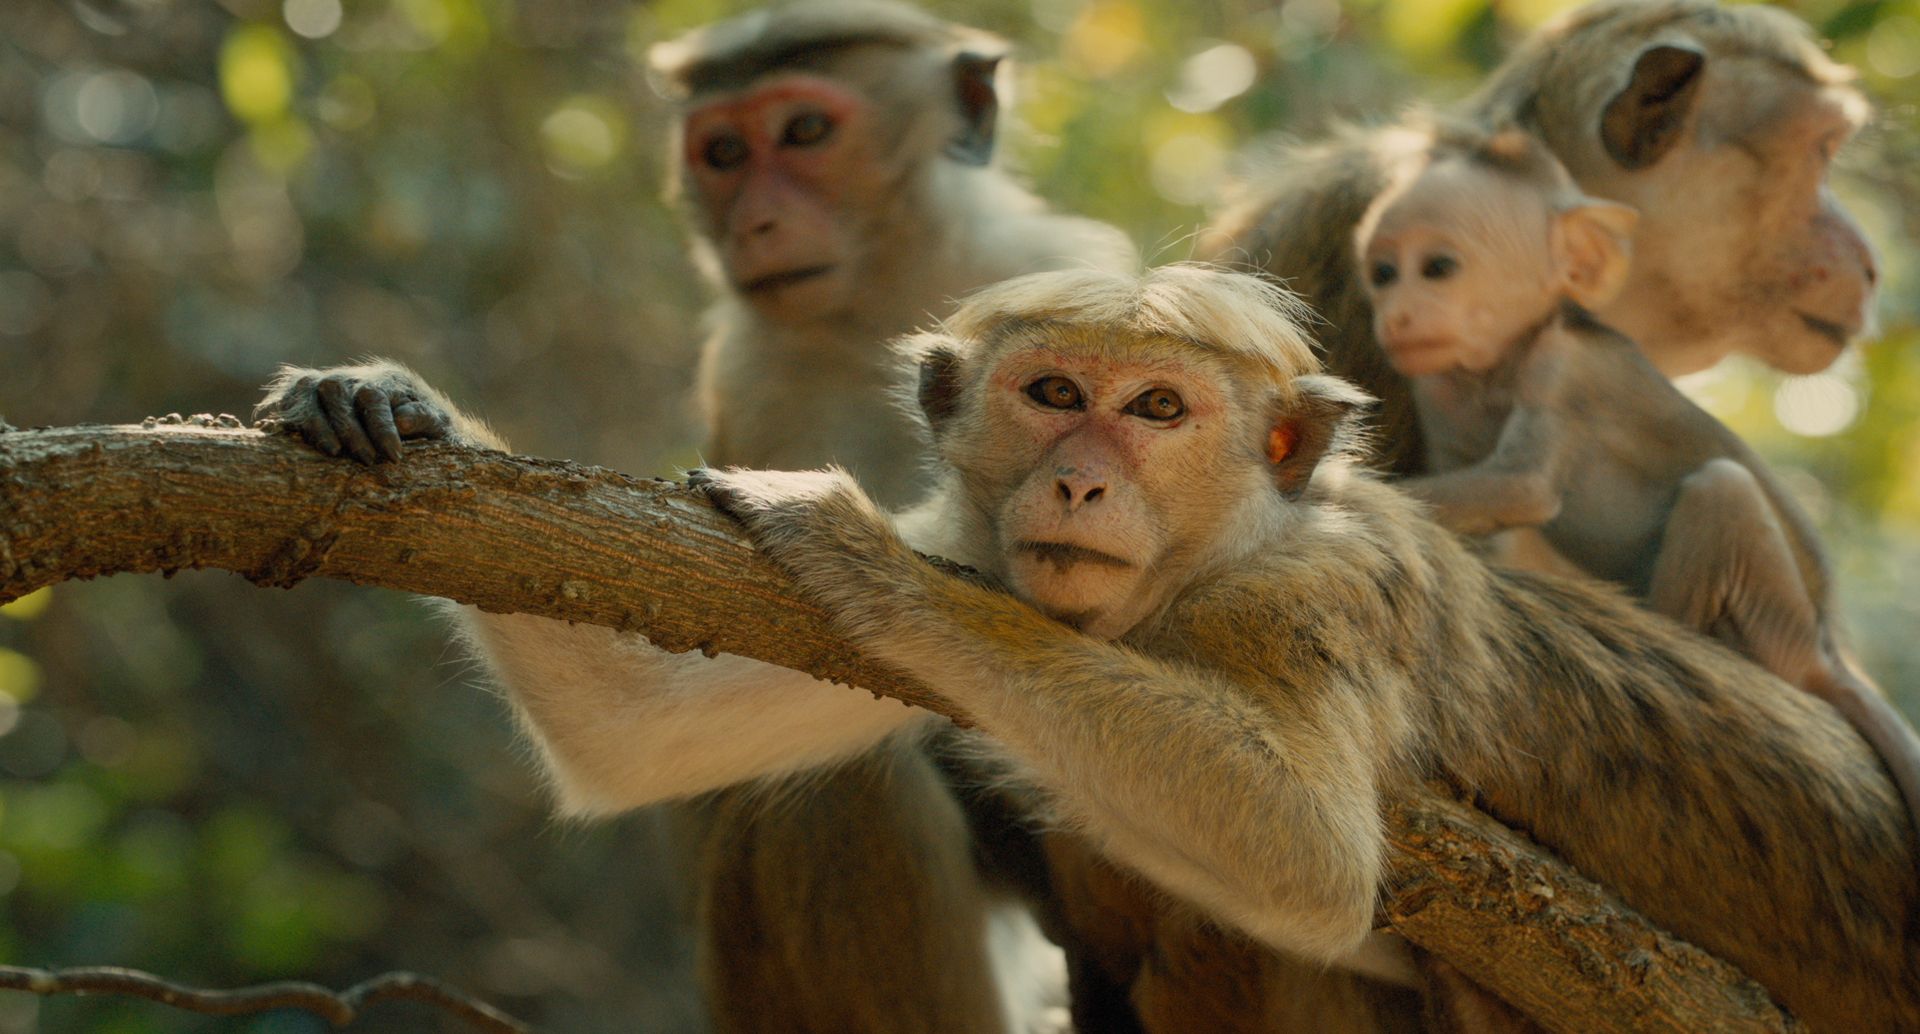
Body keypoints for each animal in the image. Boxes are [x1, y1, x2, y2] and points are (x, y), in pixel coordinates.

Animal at [259, 4, 1137, 1032]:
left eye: (805, 132)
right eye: (722, 153)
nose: (755, 222)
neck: (890, 298)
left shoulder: (1058, 274)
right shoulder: (761, 375)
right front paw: (391, 399)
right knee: (826, 792)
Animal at [262, 264, 1919, 1032]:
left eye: (1161, 408)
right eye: (1056, 391)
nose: (1080, 480)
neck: (1183, 580)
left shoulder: (1313, 593)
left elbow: (1308, 855)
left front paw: (861, 555)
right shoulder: (978, 536)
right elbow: (635, 729)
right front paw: (393, 399)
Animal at [1352, 121, 1920, 855]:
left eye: (1438, 268)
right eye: (1383, 274)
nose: (1395, 316)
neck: (1499, 365)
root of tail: (1826, 649)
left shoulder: (1562, 368)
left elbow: (1523, 487)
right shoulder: (1438, 388)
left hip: (1779, 626)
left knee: (1722, 487)